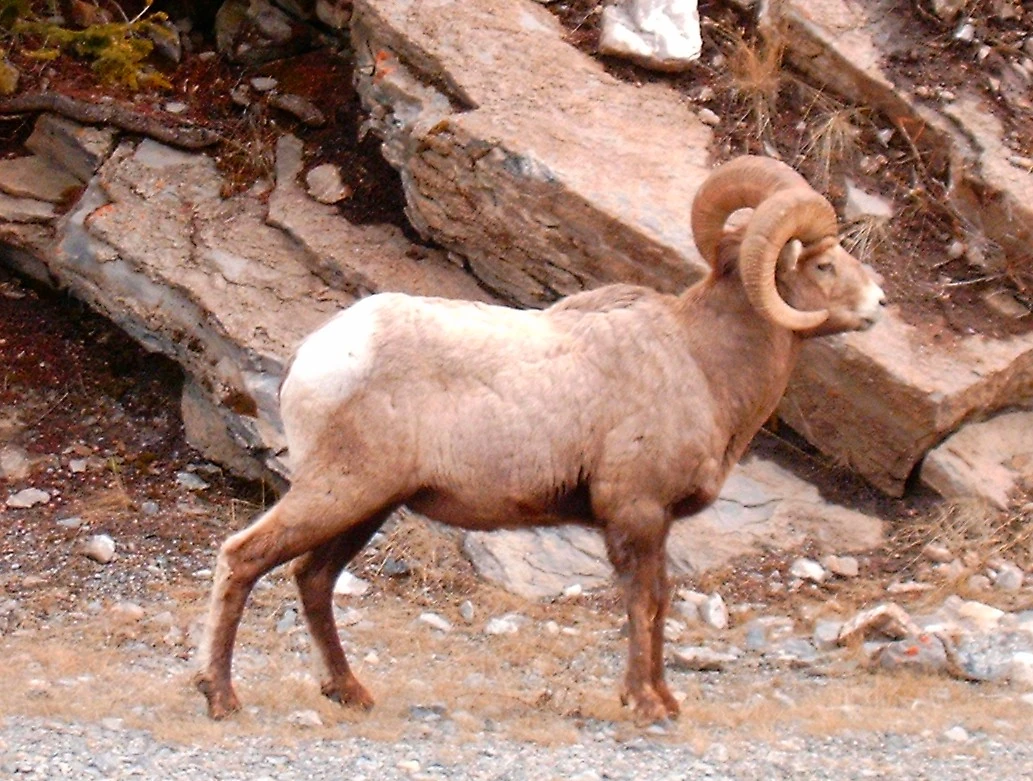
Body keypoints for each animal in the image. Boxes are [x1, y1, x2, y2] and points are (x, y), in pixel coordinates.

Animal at [195, 155, 886, 724]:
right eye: (823, 264)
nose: (878, 303)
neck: (701, 362)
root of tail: (315, 354)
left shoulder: (652, 522)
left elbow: (658, 603)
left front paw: (662, 699)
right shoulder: (637, 513)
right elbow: (645, 602)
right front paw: (646, 704)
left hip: (367, 507)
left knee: (312, 580)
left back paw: (350, 693)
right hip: (338, 493)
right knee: (244, 558)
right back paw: (221, 697)